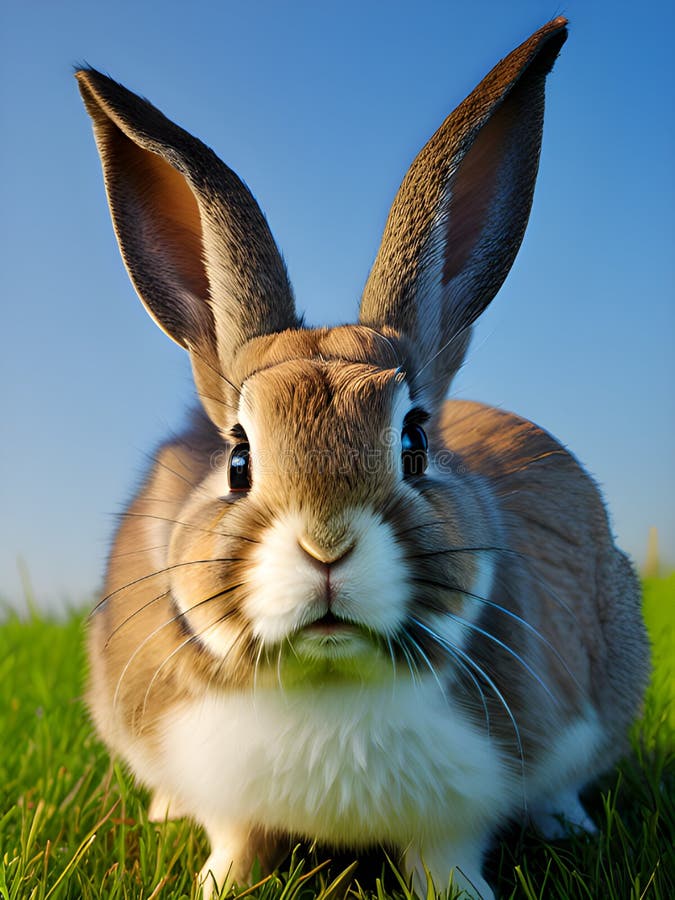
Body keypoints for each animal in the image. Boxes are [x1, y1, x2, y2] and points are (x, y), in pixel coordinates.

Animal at [77, 16, 649, 900]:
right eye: (237, 460)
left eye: (413, 443)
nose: (325, 547)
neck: (328, 679)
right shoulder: (227, 801)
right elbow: (233, 842)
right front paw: (215, 883)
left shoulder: (456, 817)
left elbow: (448, 856)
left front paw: (463, 894)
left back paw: (566, 821)